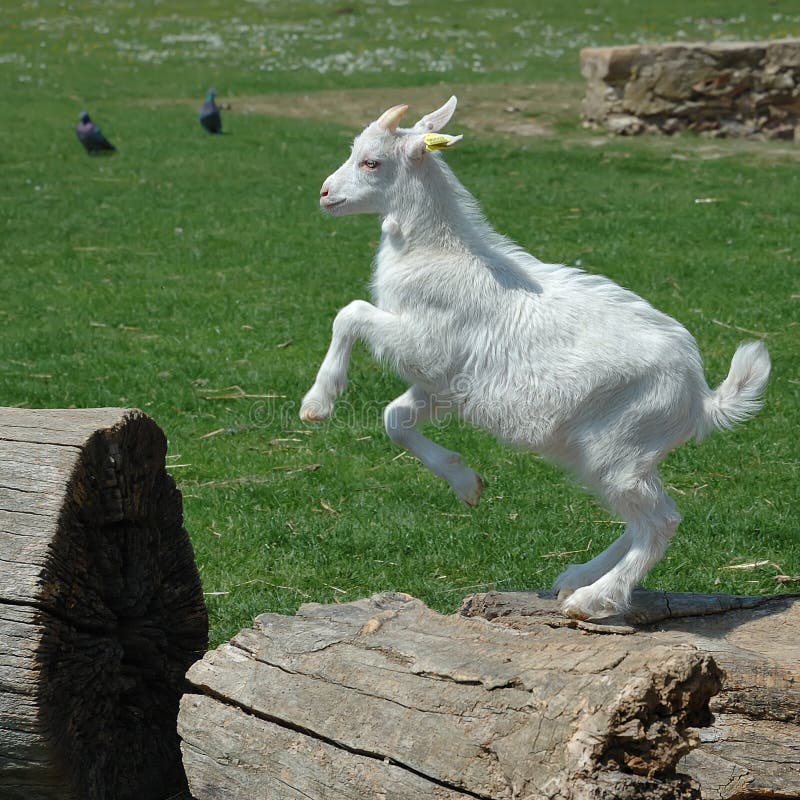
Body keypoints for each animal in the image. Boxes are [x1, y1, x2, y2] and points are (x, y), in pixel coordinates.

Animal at [300, 96, 771, 620]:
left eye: (371, 162)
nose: (325, 193)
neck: (437, 252)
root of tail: (702, 399)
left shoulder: (424, 341)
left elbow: (350, 314)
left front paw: (317, 403)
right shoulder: (443, 383)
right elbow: (394, 419)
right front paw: (466, 484)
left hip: (620, 447)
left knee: (660, 520)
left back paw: (592, 599)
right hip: (605, 454)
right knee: (643, 517)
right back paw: (577, 578)